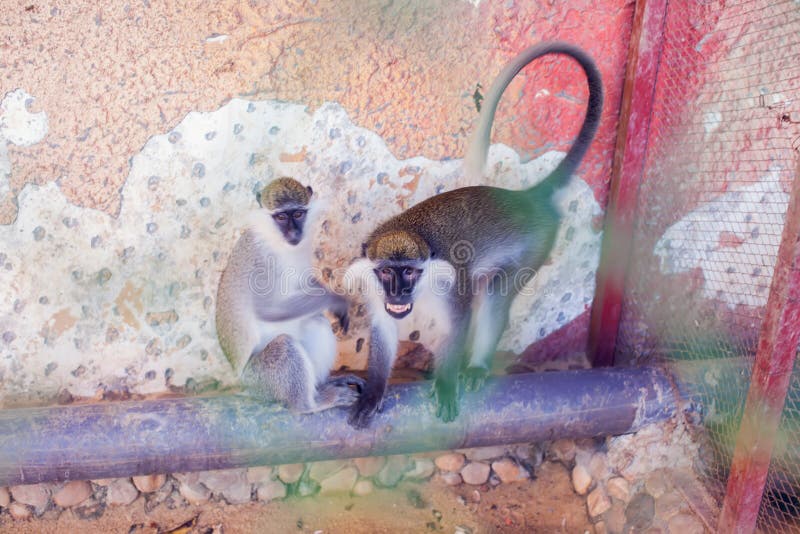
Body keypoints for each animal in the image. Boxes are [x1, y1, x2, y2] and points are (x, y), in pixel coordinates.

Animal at [215, 177, 364, 413]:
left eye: (298, 214)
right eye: (281, 217)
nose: (294, 234)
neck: (278, 243)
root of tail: (243, 385)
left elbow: (305, 283)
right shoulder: (261, 261)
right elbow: (268, 308)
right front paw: (336, 300)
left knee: (316, 322)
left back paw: (323, 384)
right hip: (260, 380)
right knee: (284, 345)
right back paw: (310, 403)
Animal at [345, 42, 603, 427]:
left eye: (410, 272)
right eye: (387, 271)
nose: (399, 291)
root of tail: (525, 198)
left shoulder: (451, 288)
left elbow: (459, 323)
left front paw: (446, 382)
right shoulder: (375, 291)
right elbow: (384, 331)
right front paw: (374, 391)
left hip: (536, 247)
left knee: (495, 296)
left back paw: (478, 366)